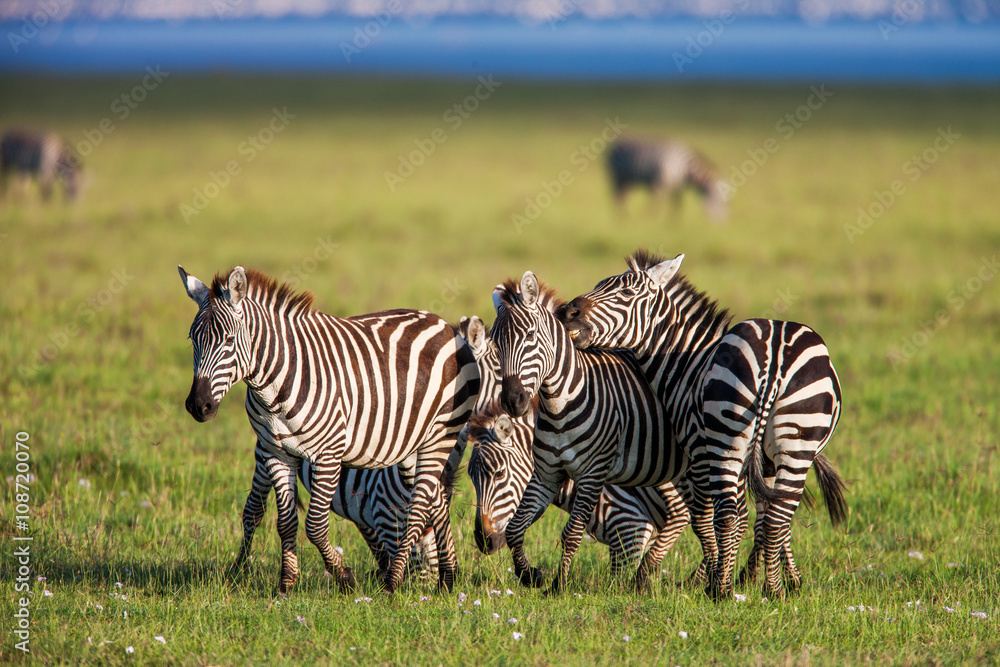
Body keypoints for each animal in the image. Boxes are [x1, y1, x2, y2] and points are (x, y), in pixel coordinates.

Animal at [178, 264, 480, 595]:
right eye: (192, 340)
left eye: (230, 341)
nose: (198, 406)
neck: (274, 386)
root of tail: (441, 323)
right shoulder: (275, 453)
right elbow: (286, 523)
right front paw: (286, 584)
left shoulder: (328, 453)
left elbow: (314, 526)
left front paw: (344, 576)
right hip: (411, 444)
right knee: (435, 501)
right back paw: (448, 577)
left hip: (441, 435)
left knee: (417, 508)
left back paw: (393, 581)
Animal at [466, 401, 691, 589]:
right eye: (471, 478)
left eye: (499, 473)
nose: (483, 540)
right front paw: (531, 576)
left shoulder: (631, 526)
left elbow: (616, 587)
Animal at [490, 272, 689, 594]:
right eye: (496, 345)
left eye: (530, 335)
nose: (513, 400)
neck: (559, 404)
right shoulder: (545, 473)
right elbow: (515, 527)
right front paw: (529, 575)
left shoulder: (592, 475)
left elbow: (571, 533)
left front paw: (559, 586)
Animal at [557, 249, 847, 599]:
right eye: (599, 285)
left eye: (626, 294)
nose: (566, 312)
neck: (687, 363)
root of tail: (775, 353)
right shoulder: (763, 463)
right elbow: (763, 518)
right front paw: (781, 578)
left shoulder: (697, 454)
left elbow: (708, 520)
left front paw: (713, 577)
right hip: (797, 442)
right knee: (779, 514)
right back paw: (773, 590)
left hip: (727, 441)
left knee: (728, 515)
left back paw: (721, 590)